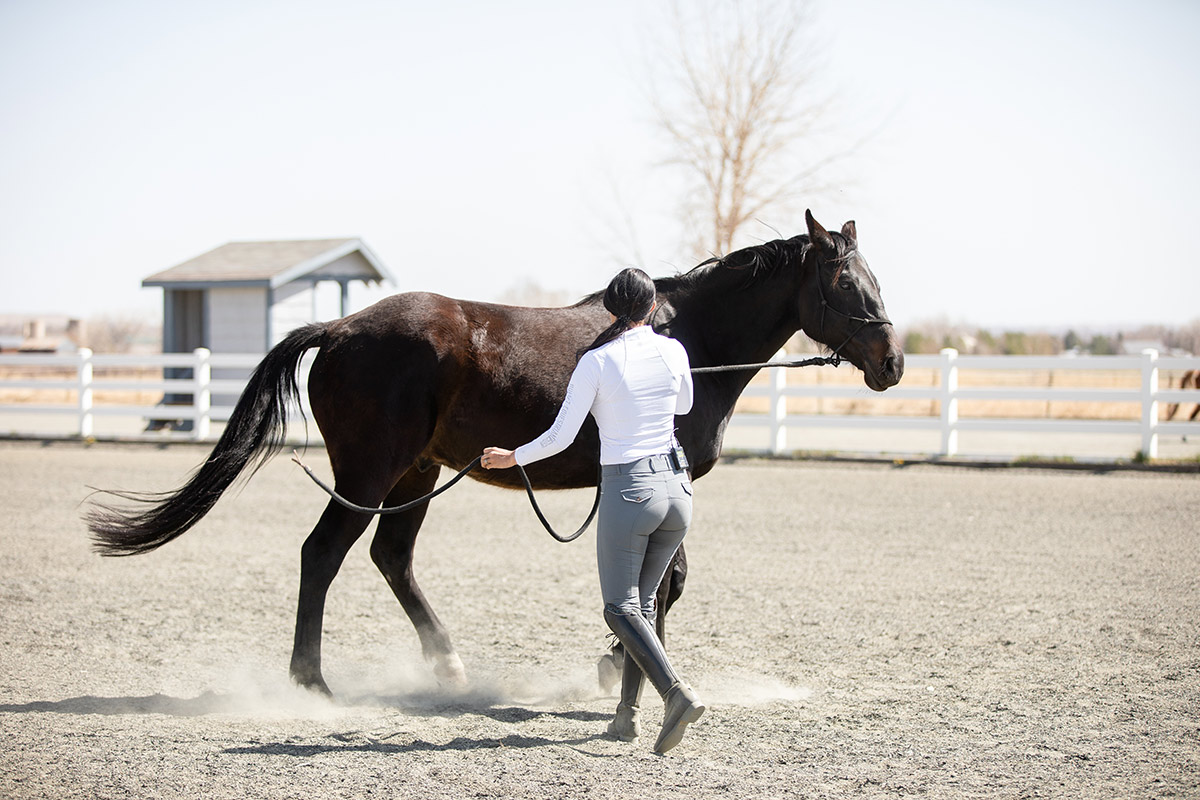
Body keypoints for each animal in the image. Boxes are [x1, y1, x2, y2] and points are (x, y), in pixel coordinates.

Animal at [85, 210, 904, 696]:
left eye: (873, 279)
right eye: (843, 283)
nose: (892, 362)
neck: (686, 338)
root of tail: (341, 327)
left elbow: (660, 585)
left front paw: (620, 662)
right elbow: (665, 584)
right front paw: (620, 664)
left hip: (414, 474)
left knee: (390, 558)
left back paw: (444, 663)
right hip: (370, 472)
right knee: (323, 555)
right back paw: (311, 684)